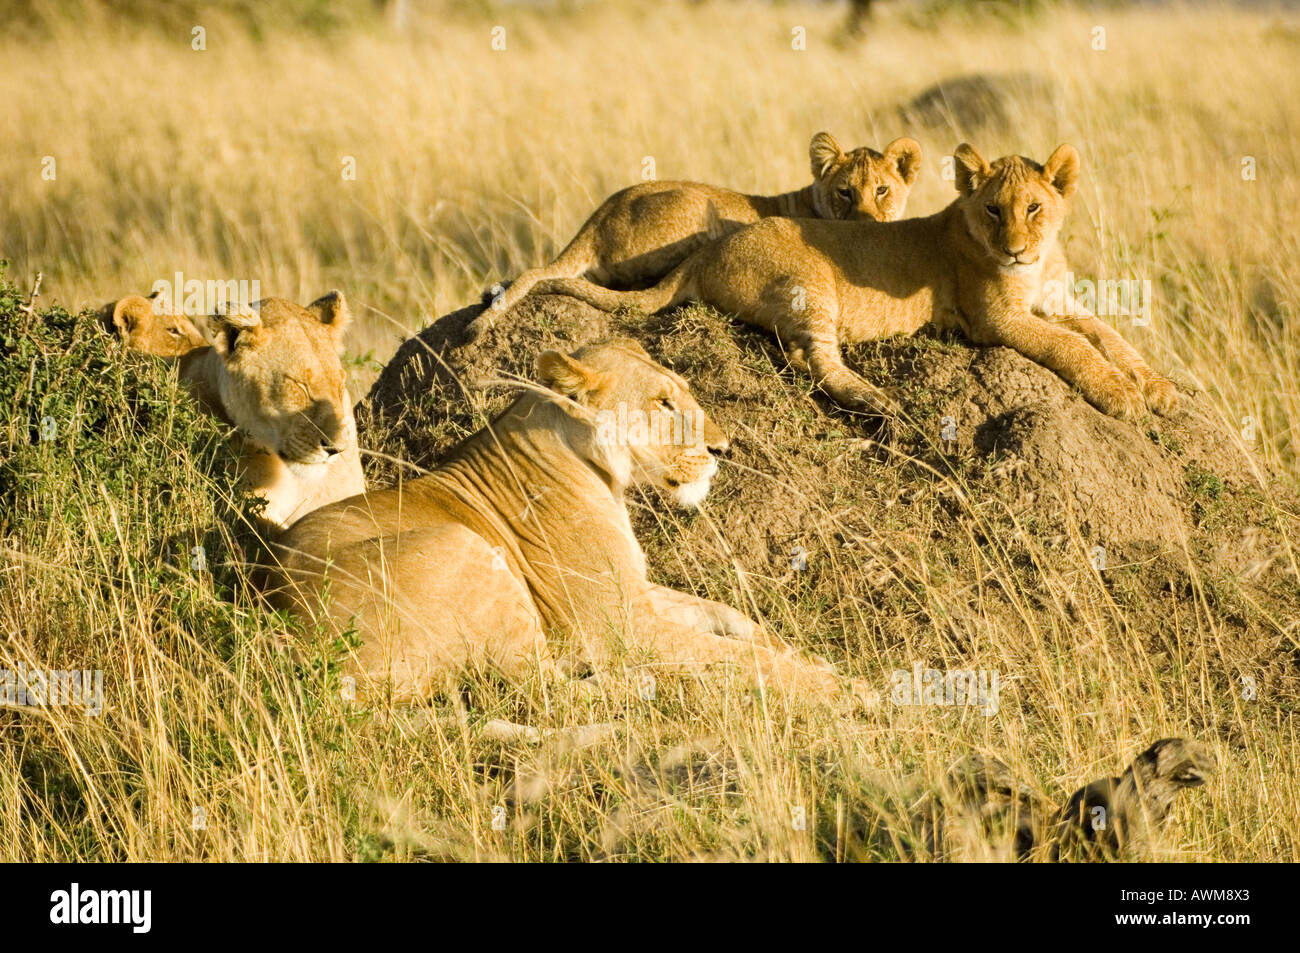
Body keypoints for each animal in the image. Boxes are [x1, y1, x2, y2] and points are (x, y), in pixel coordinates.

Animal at [265, 339, 860, 705]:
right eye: (663, 403)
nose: (722, 448)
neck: (603, 474)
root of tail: (286, 630)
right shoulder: (619, 625)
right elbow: (734, 655)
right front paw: (837, 687)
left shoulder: (635, 592)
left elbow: (728, 617)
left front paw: (803, 654)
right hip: (466, 546)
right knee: (546, 688)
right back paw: (654, 687)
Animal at [520, 143, 1180, 422]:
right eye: (994, 209)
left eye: (1034, 208)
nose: (1014, 249)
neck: (1036, 266)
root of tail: (709, 253)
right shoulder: (997, 319)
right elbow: (1070, 346)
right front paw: (1121, 396)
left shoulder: (1060, 302)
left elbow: (1112, 338)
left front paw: (1157, 388)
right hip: (813, 284)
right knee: (816, 360)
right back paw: (877, 400)